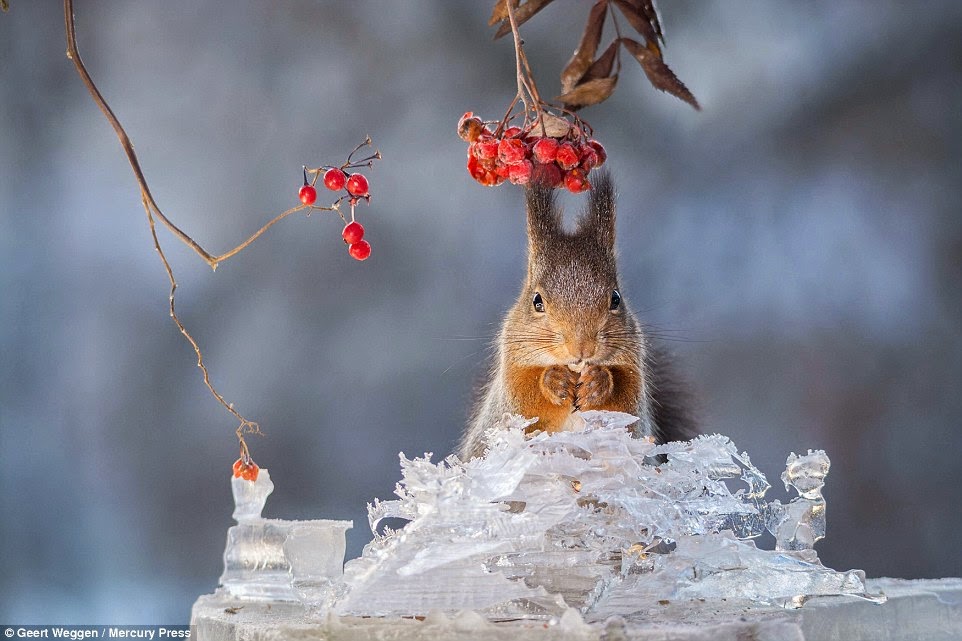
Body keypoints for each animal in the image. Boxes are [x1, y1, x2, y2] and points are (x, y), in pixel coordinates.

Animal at [460, 170, 697, 459]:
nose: (582, 349)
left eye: (615, 299)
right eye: (537, 301)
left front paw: (599, 382)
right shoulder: (511, 379)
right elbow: (524, 398)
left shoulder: (634, 373)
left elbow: (626, 403)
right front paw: (553, 381)